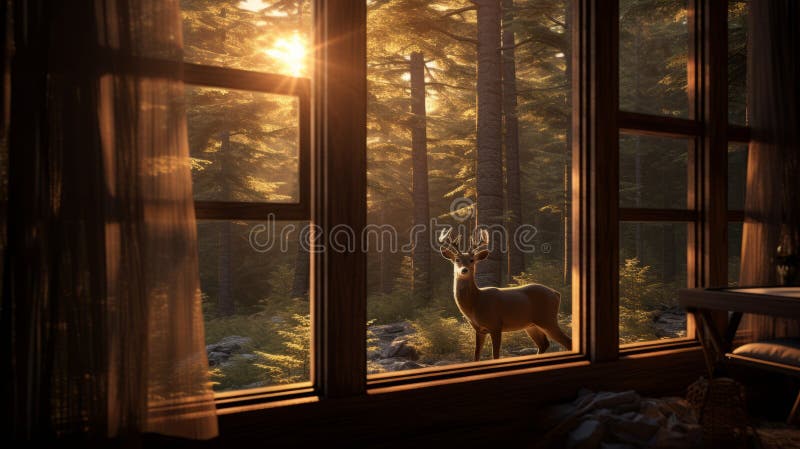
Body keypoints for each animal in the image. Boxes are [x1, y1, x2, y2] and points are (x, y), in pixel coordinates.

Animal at [439, 227, 572, 361]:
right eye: (457, 260)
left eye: (472, 260)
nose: (464, 270)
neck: (476, 302)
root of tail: (556, 294)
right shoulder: (479, 329)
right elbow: (476, 356)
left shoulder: (496, 325)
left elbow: (495, 355)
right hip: (531, 325)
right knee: (544, 344)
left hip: (548, 319)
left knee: (567, 341)